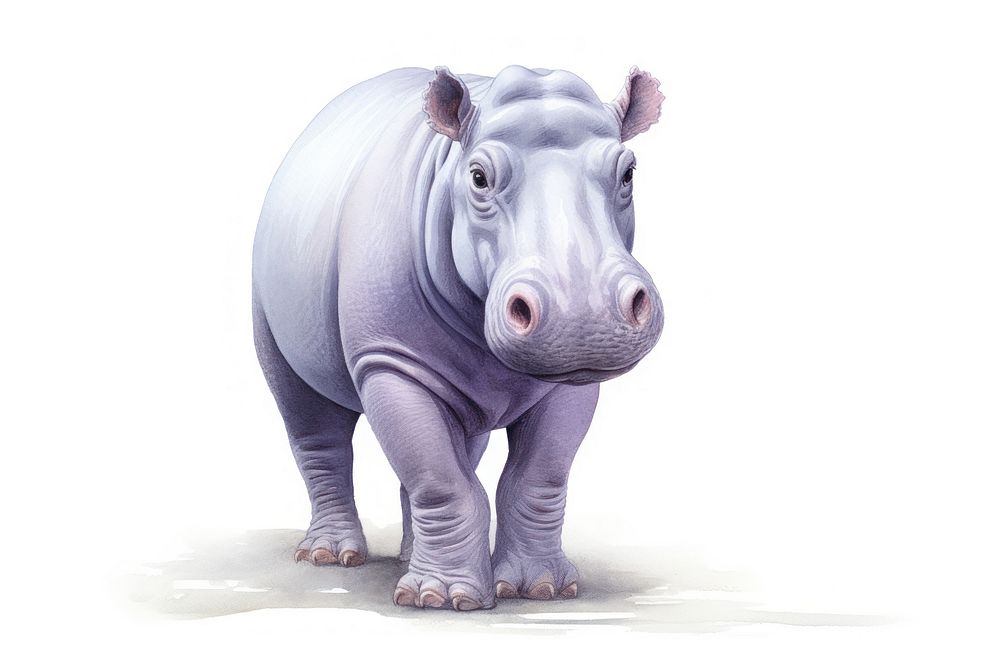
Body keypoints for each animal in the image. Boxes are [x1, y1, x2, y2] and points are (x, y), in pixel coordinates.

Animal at [252, 65, 665, 611]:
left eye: (629, 173)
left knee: (460, 444)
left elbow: (537, 477)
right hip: (269, 296)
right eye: (478, 178)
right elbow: (440, 480)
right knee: (311, 423)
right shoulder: (390, 360)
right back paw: (329, 558)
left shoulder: (572, 377)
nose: (584, 315)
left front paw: (543, 590)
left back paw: (406, 560)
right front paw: (443, 601)